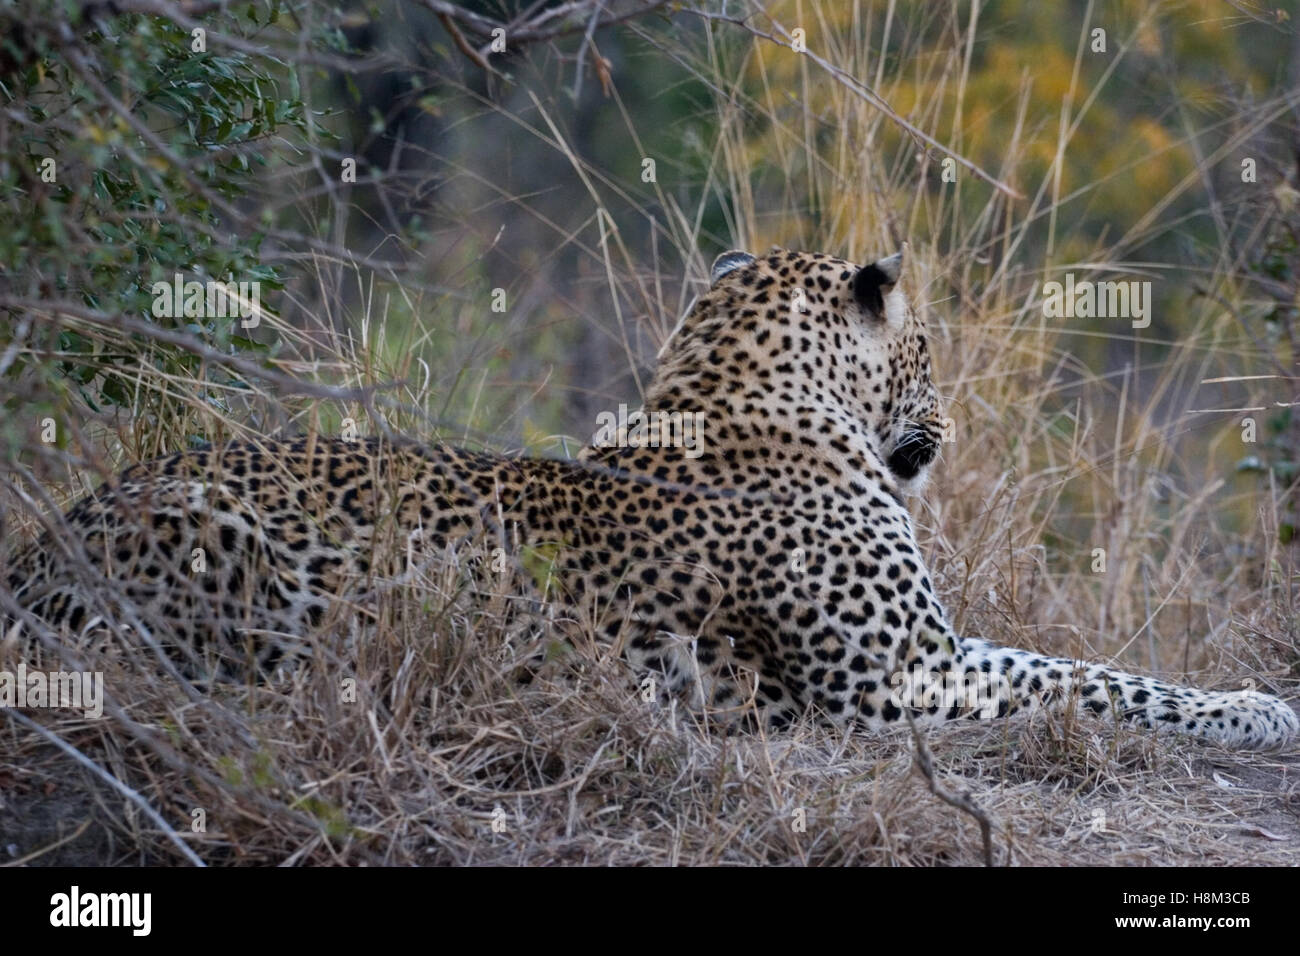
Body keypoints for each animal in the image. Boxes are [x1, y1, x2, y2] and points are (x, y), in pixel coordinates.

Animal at [4, 248, 1297, 749]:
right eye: (926, 343)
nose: (947, 430)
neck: (741, 395)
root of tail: (47, 542)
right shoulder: (888, 679)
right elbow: (1091, 681)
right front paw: (1262, 714)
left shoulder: (929, 646)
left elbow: (1085, 664)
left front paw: (1254, 700)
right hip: (304, 564)